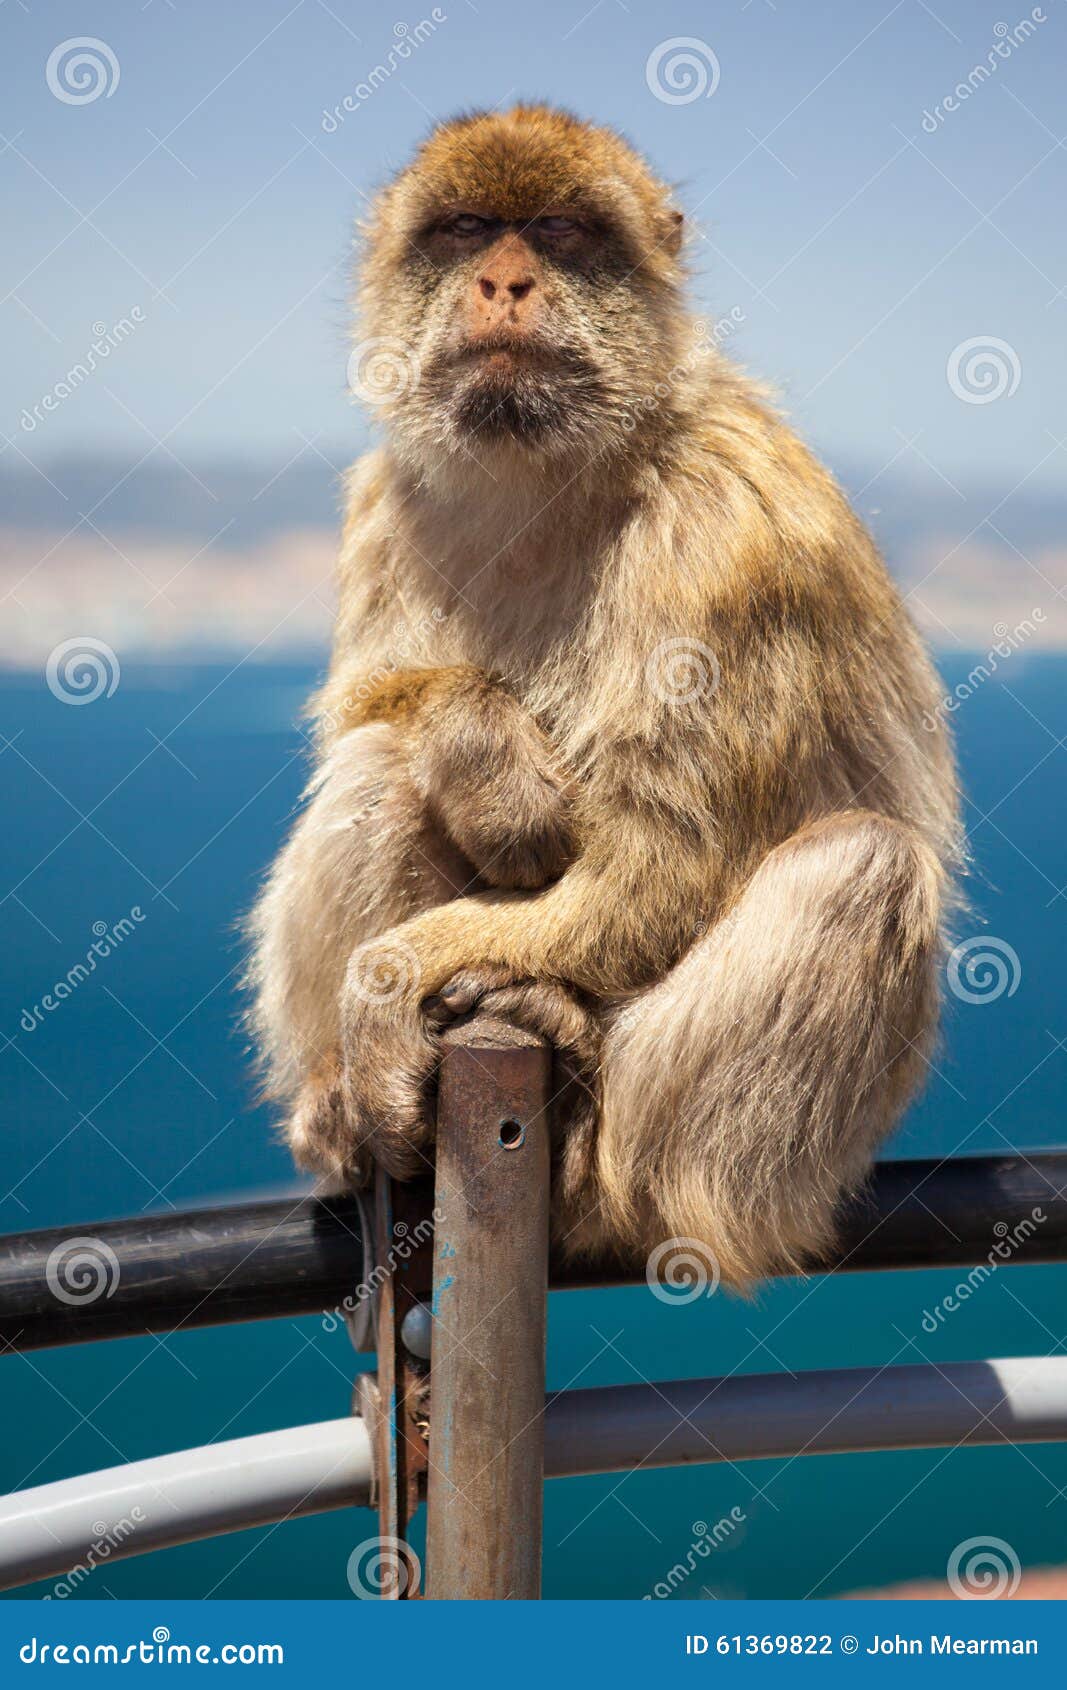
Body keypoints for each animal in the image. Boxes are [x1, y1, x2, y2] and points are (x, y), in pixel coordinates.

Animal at [248, 105, 960, 1290]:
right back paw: (342, 1116)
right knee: (380, 764)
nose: (504, 281)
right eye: (463, 228)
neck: (551, 470)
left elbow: (669, 859)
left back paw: (596, 1140)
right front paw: (483, 757)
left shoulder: (732, 533)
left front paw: (389, 980)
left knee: (862, 867)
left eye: (562, 231)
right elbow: (364, 704)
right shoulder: (385, 495)